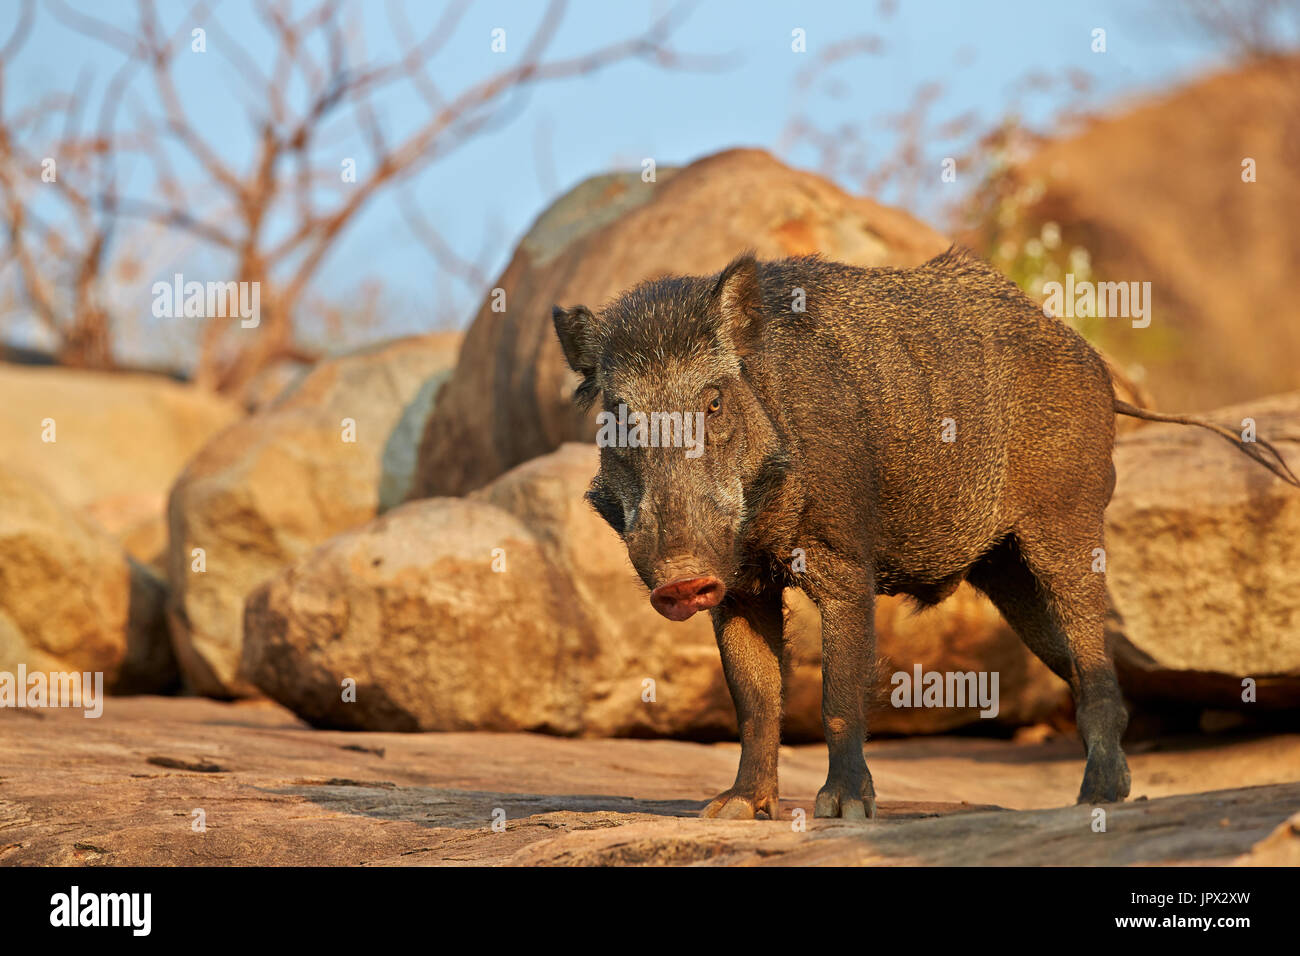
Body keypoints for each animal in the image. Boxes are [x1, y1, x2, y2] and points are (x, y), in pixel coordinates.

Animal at [552, 246, 1299, 820]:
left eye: (712, 402)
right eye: (618, 416)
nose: (681, 578)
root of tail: (1098, 367)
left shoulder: (844, 562)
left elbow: (839, 694)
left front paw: (844, 812)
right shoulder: (737, 590)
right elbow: (755, 699)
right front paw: (730, 812)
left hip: (1068, 520)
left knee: (1090, 641)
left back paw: (1098, 799)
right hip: (1006, 570)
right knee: (1077, 659)